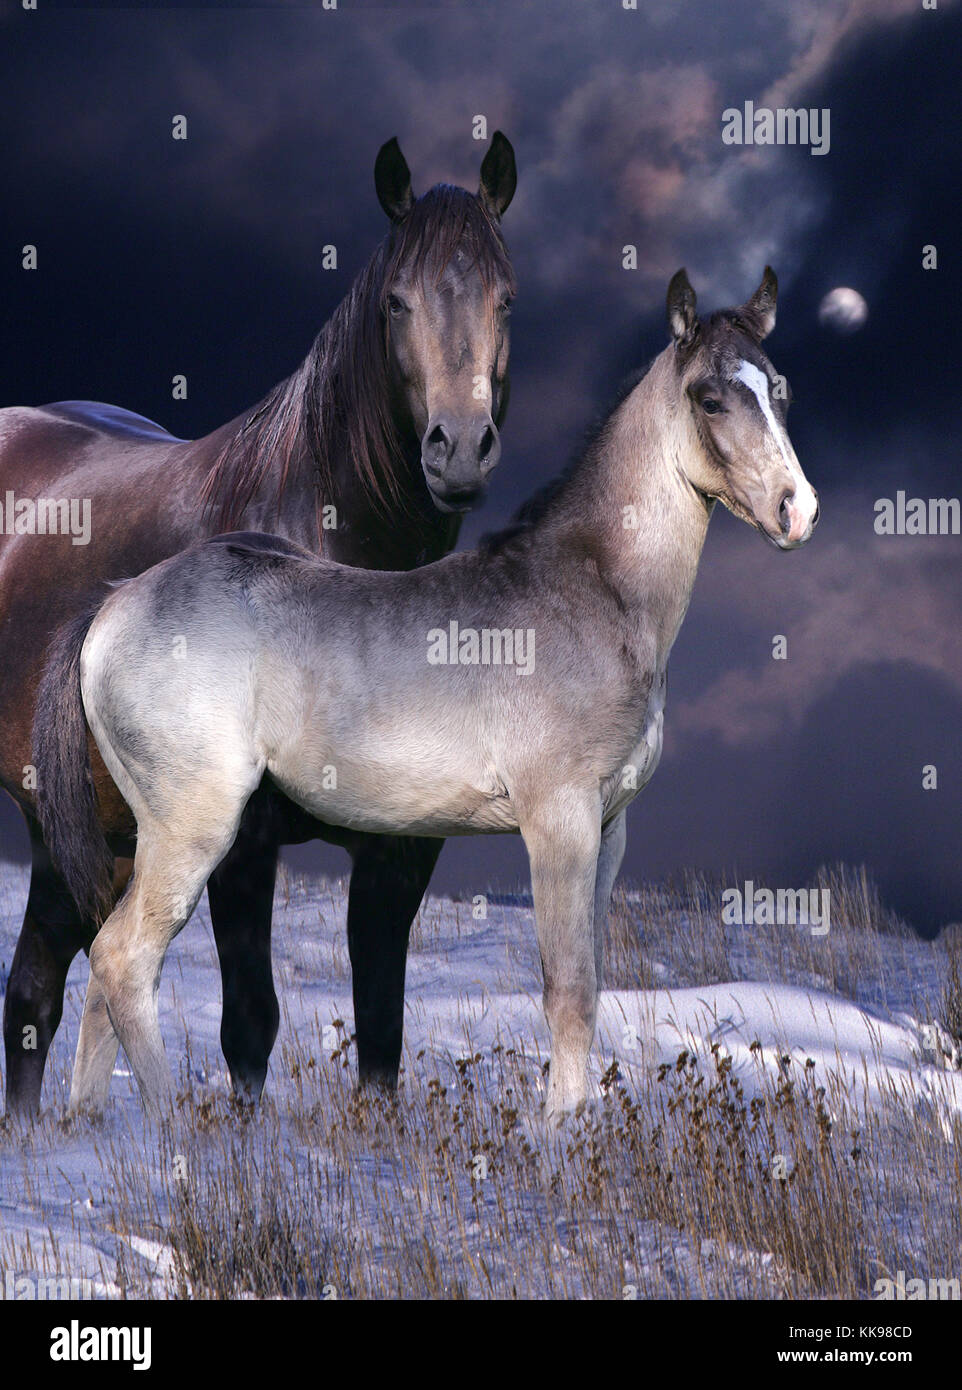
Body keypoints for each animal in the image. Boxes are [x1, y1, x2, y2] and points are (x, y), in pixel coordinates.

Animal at [0, 131, 517, 1115]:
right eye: (396, 302)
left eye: (506, 297)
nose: (461, 450)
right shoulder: (246, 846)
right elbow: (250, 1027)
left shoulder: (403, 850)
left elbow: (382, 1034)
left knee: (41, 988)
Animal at [34, 266, 818, 1124]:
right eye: (710, 399)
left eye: (779, 389)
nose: (797, 510)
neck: (591, 591)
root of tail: (113, 604)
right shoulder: (559, 821)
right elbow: (567, 990)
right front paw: (561, 1135)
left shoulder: (610, 831)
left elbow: (593, 982)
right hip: (192, 827)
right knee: (123, 958)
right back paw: (180, 1123)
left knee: (105, 969)